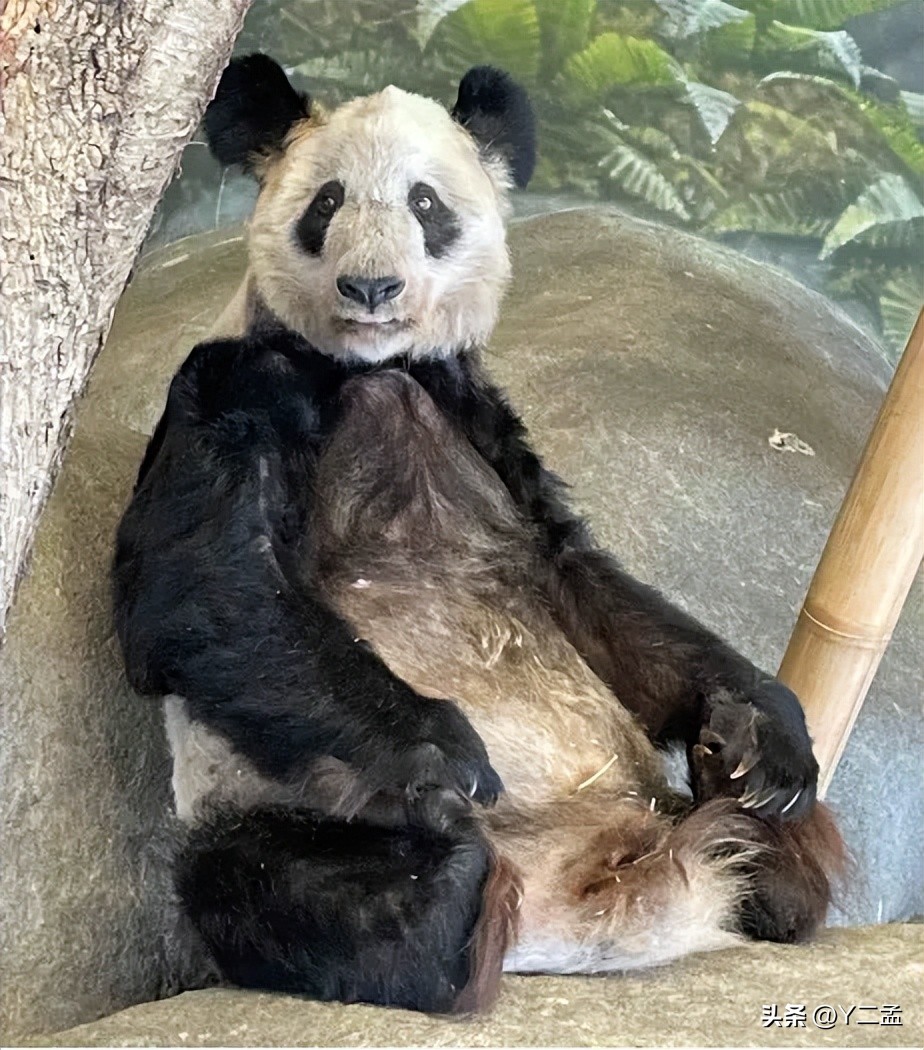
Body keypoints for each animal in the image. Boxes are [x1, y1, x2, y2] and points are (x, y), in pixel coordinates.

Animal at [112, 53, 845, 1015]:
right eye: (326, 203)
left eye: (426, 204)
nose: (371, 287)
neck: (369, 368)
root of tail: (579, 904)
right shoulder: (234, 382)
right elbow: (199, 588)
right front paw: (451, 758)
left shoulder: (477, 414)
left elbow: (585, 582)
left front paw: (762, 731)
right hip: (279, 800)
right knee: (275, 885)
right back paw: (450, 883)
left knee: (778, 828)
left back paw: (755, 820)